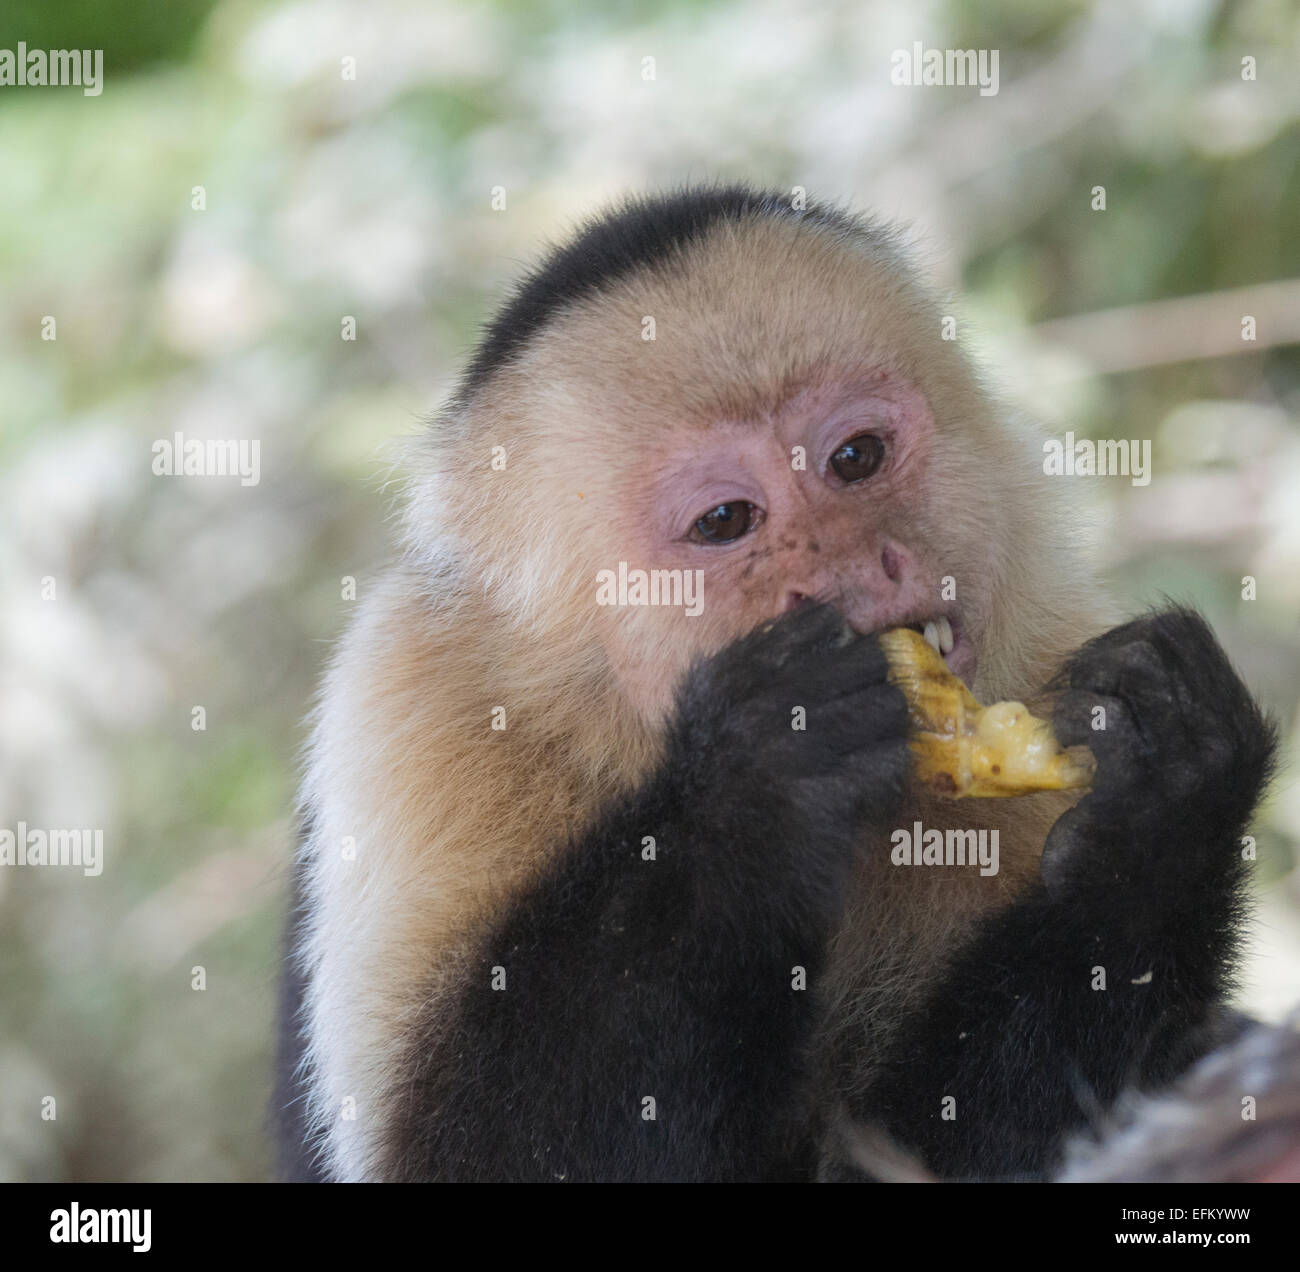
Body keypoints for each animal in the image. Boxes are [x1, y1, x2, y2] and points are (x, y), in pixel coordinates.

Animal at [274, 185, 1277, 1183]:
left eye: (856, 458)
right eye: (726, 520)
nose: (845, 569)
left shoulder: (1047, 659)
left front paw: (1163, 809)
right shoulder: (412, 711)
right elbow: (469, 1154)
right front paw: (760, 782)